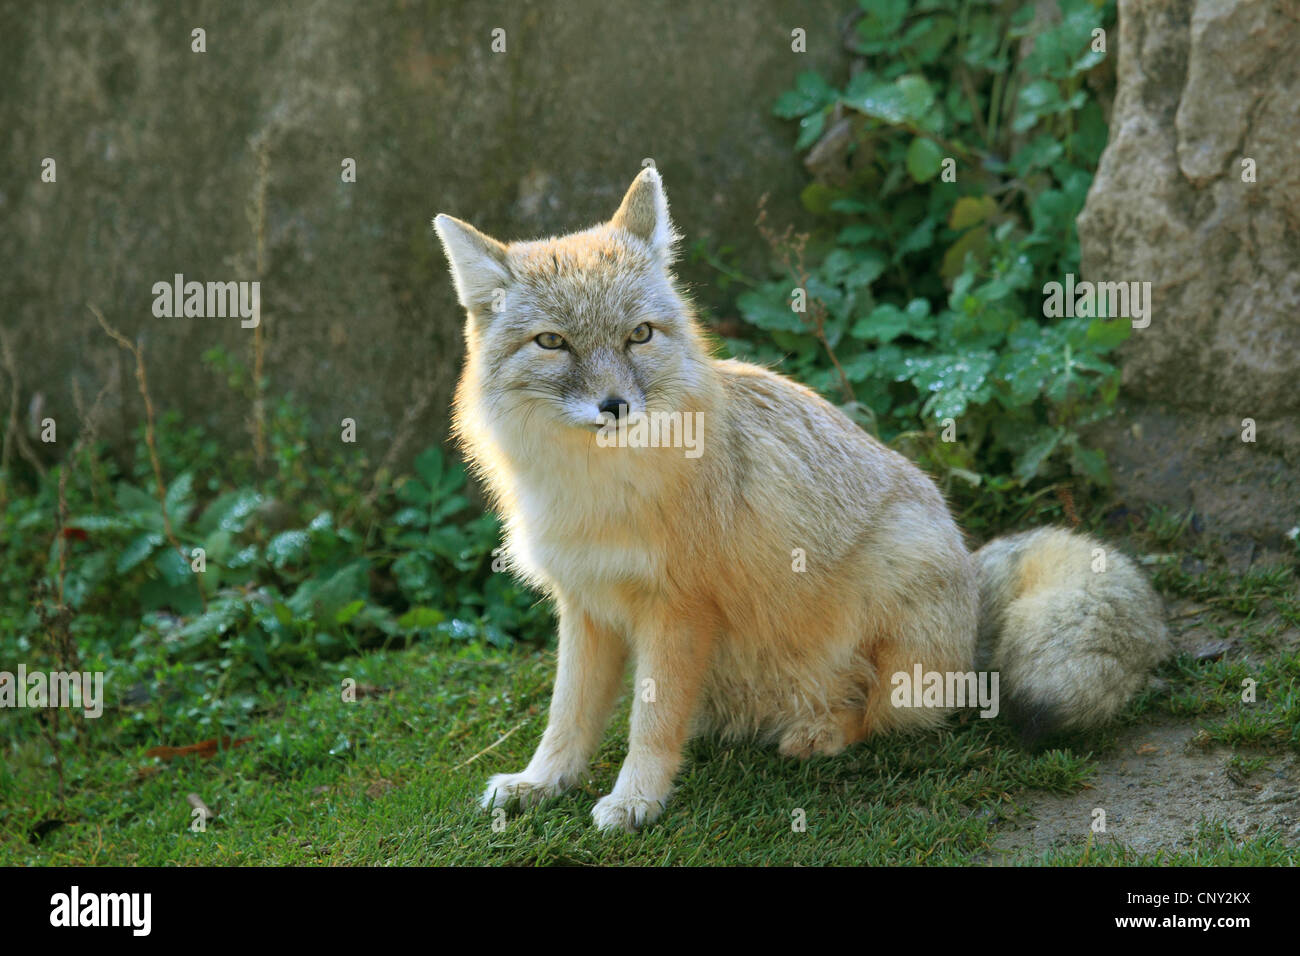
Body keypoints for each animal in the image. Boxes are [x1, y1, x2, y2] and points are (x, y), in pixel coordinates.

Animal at [433, 168, 1171, 833]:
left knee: (882, 715)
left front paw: (636, 799)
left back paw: (820, 731)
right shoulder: (585, 606)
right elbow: (568, 716)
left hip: (887, 593)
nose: (615, 407)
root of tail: (969, 589)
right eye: (552, 342)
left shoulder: (678, 608)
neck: (596, 493)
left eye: (638, 335)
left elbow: (653, 721)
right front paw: (542, 782)